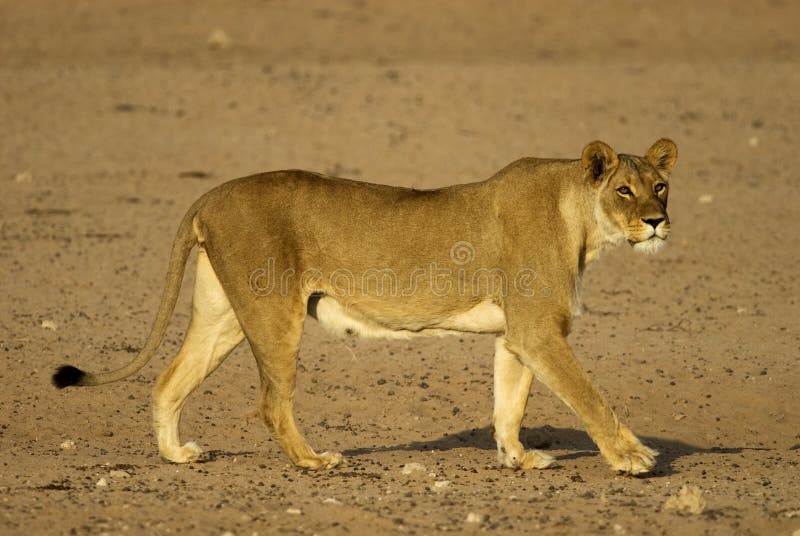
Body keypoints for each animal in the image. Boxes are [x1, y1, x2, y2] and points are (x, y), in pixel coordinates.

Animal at [53, 138, 677, 475]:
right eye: (623, 190)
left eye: (661, 186)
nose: (656, 221)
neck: (582, 219)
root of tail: (209, 194)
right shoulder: (540, 332)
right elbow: (591, 398)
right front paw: (634, 458)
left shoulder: (518, 334)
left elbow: (510, 405)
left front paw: (519, 459)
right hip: (273, 313)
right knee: (271, 403)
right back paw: (313, 461)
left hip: (223, 315)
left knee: (168, 380)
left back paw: (176, 454)